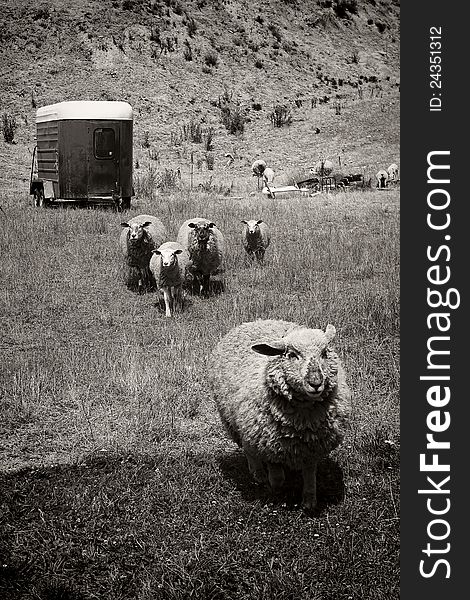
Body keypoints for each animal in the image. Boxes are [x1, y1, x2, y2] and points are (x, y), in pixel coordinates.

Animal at [207, 318, 350, 510]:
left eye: (324, 353)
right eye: (292, 355)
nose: (315, 383)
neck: (303, 421)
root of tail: (255, 321)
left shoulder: (313, 446)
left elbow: (310, 473)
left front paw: (309, 501)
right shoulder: (268, 443)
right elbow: (277, 476)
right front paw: (276, 491)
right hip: (239, 423)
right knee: (248, 448)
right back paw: (258, 474)